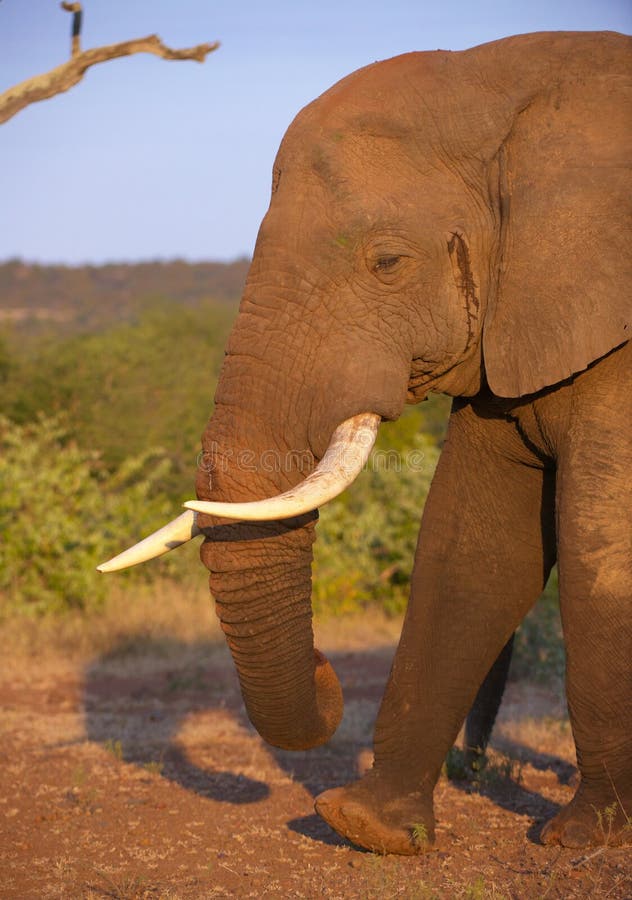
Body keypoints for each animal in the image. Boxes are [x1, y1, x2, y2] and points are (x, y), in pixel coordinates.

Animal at [100, 32, 632, 854]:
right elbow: (472, 549)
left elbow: (602, 555)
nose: (327, 674)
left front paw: (584, 839)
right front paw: (370, 827)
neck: (511, 87)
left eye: (387, 262)